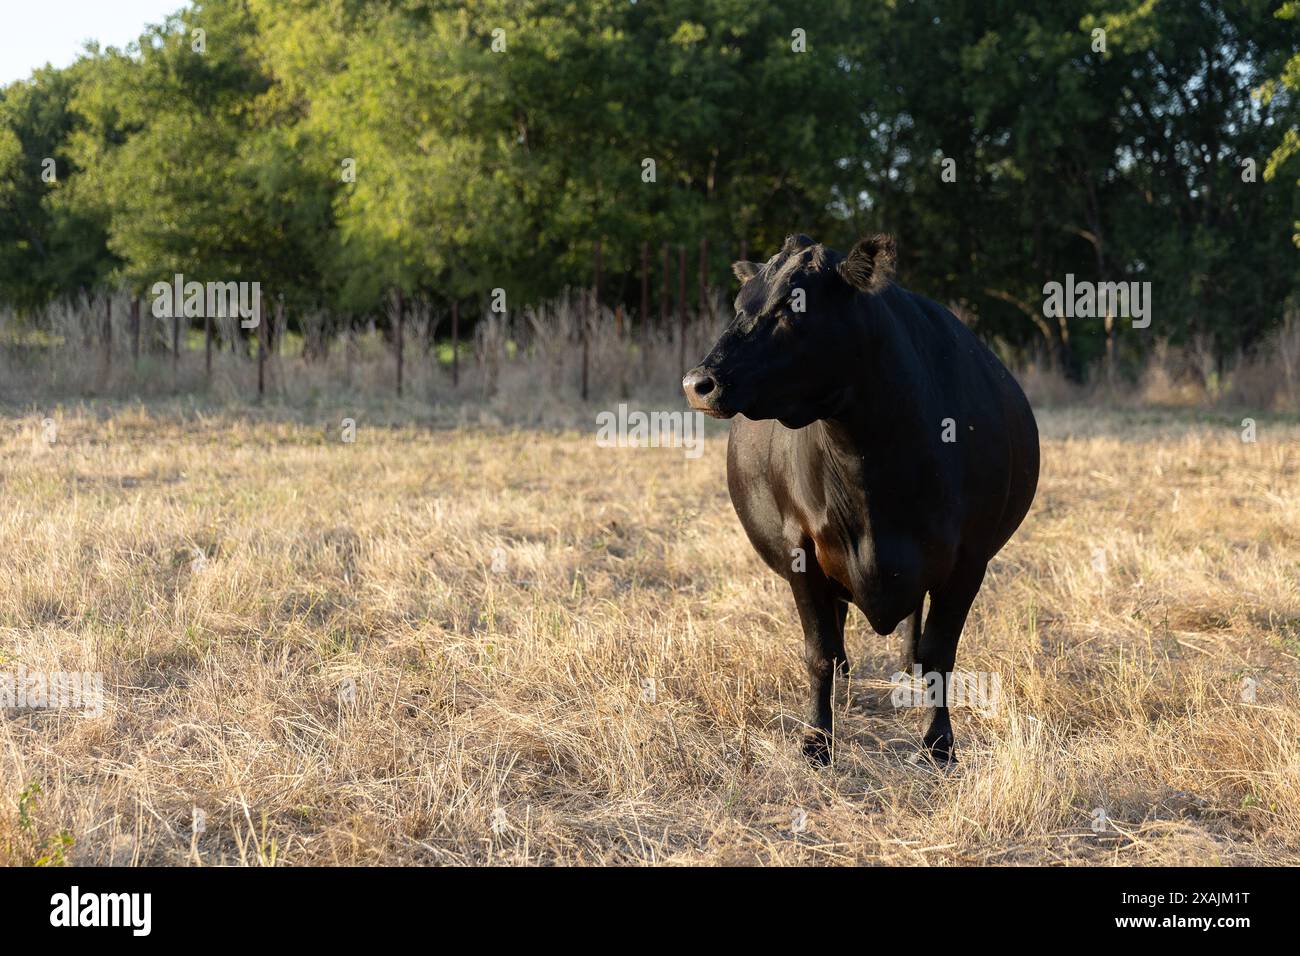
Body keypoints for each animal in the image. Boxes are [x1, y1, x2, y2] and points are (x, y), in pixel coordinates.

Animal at [682, 233, 1039, 765]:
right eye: (741, 303)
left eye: (793, 307)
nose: (698, 383)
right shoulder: (801, 547)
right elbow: (819, 650)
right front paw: (818, 738)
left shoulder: (968, 558)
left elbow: (940, 652)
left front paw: (939, 744)